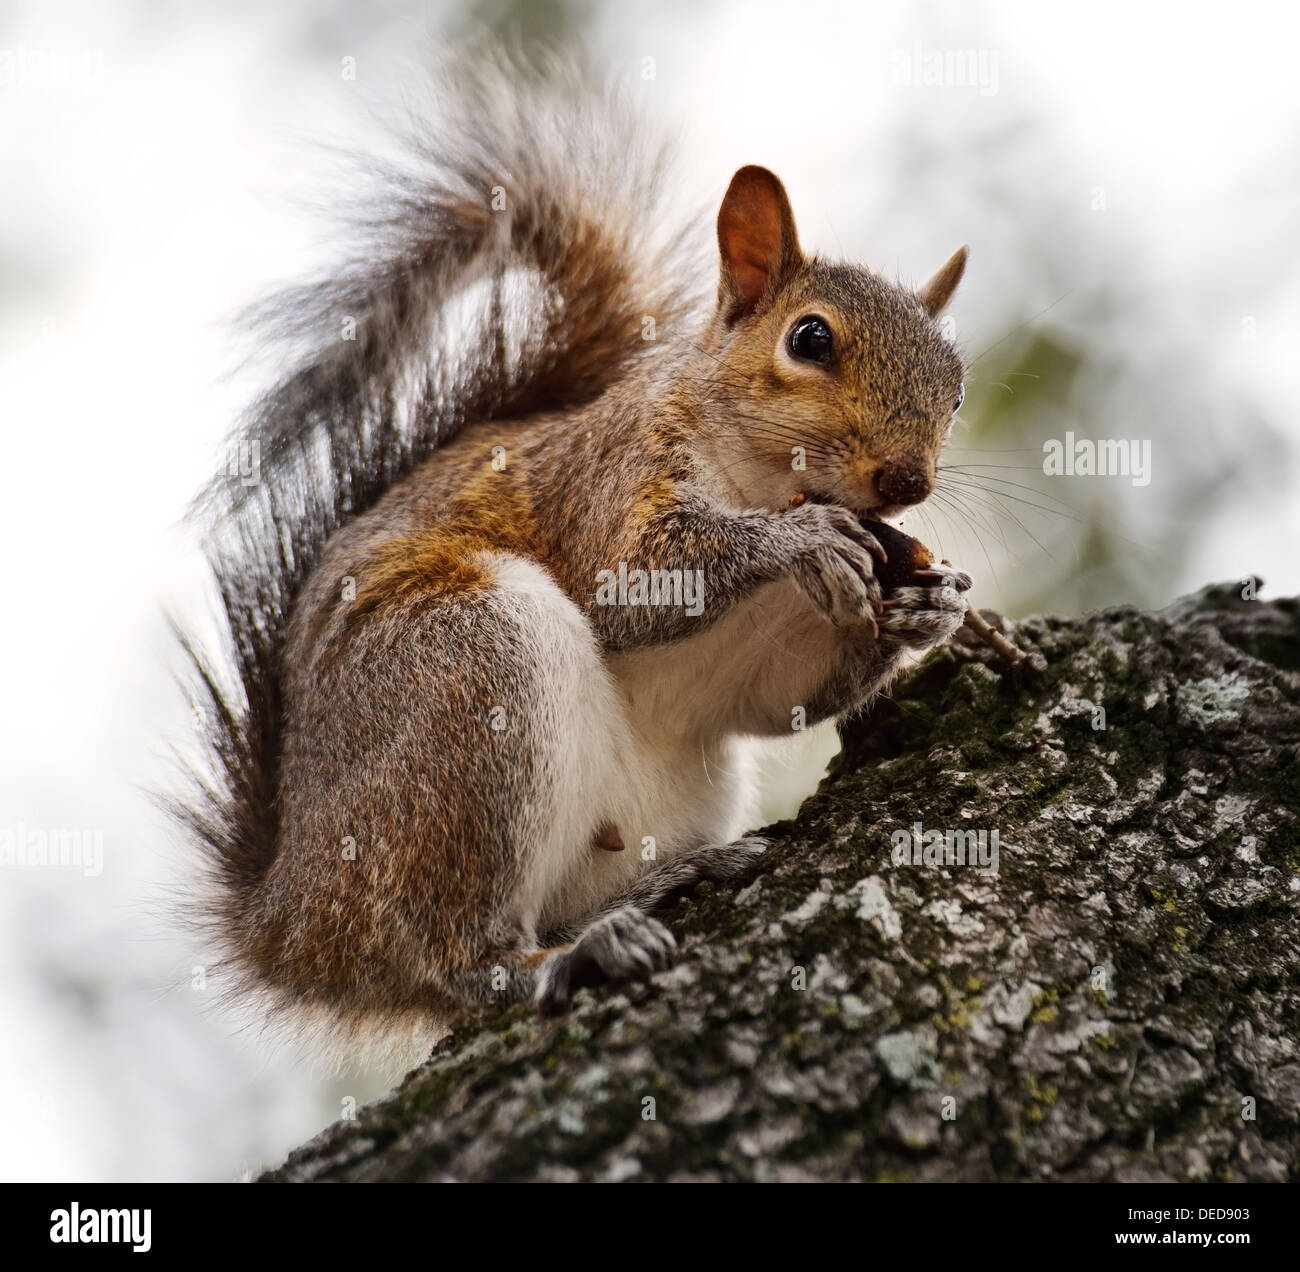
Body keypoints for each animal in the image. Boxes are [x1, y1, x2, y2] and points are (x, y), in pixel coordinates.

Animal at [176, 56, 972, 1062]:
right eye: (810, 339)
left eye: (958, 388)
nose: (906, 479)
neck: (761, 482)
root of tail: (293, 920)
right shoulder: (610, 481)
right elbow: (630, 580)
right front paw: (802, 542)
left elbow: (772, 695)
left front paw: (931, 608)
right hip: (461, 678)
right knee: (452, 958)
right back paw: (564, 958)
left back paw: (661, 885)